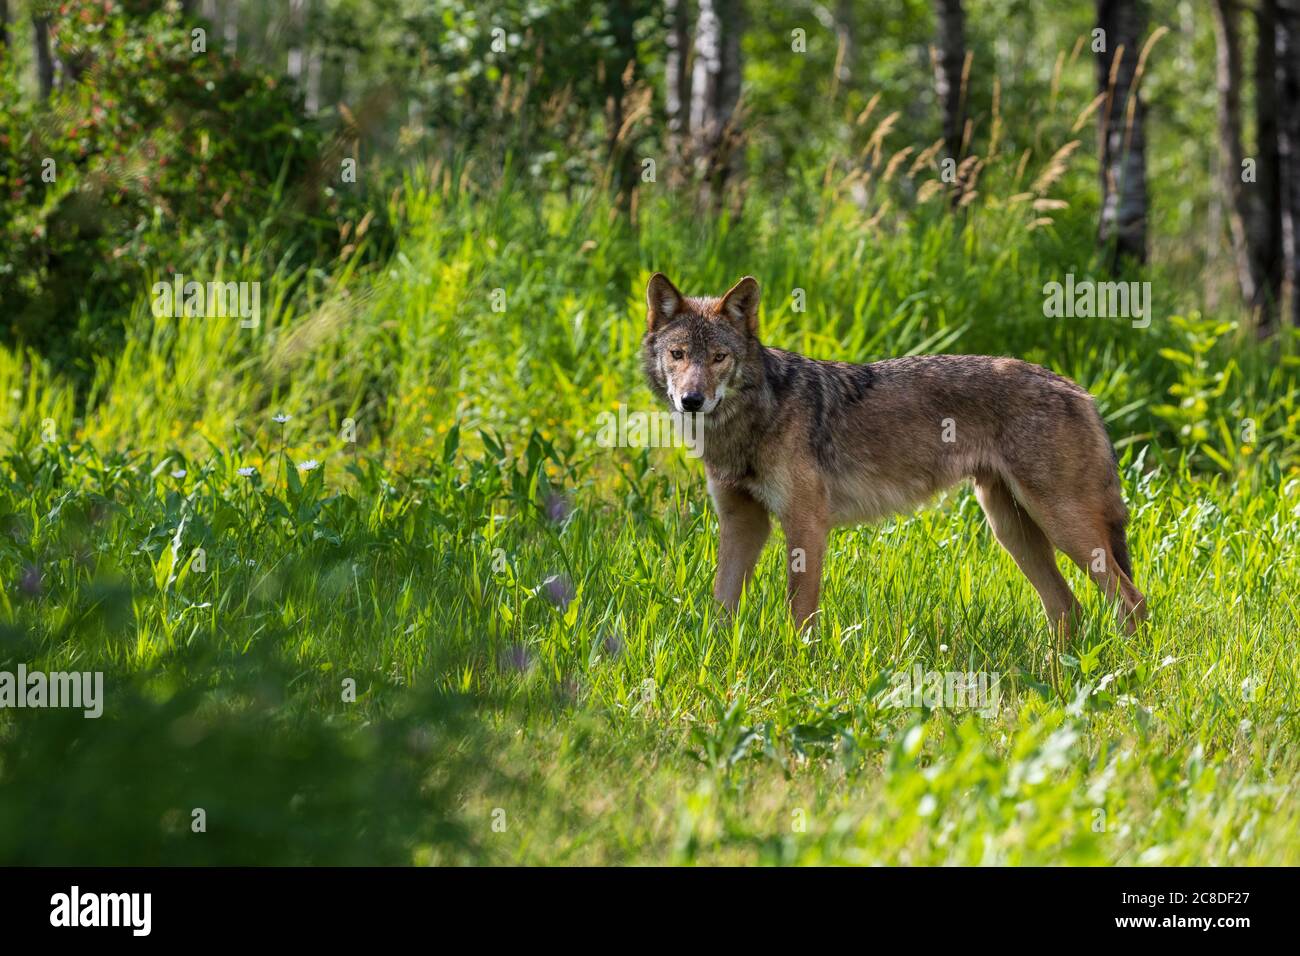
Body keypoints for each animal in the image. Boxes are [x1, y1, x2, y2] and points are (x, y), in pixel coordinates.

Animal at [641, 272, 1148, 636]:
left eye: (719, 357)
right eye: (678, 354)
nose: (691, 400)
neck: (751, 421)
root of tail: (1081, 391)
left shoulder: (807, 524)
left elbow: (800, 613)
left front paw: (798, 668)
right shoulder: (742, 523)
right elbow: (720, 607)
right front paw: (717, 664)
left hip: (1062, 526)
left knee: (1132, 603)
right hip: (1011, 528)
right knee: (1068, 608)